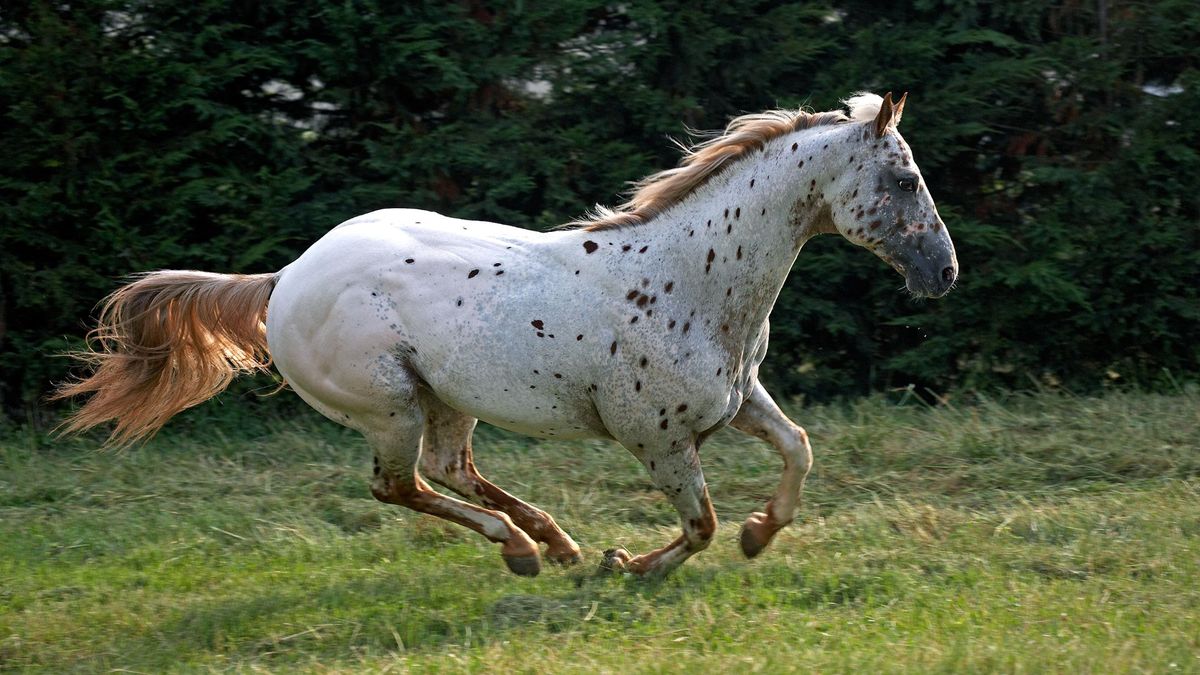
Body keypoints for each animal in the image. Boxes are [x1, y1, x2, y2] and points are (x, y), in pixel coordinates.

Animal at [56, 92, 957, 577]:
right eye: (904, 178)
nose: (943, 272)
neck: (687, 280)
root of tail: (285, 277)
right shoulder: (659, 439)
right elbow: (698, 524)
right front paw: (634, 566)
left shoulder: (738, 402)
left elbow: (799, 447)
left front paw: (758, 532)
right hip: (390, 406)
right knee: (400, 485)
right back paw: (526, 548)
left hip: (444, 398)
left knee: (452, 469)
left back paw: (551, 541)